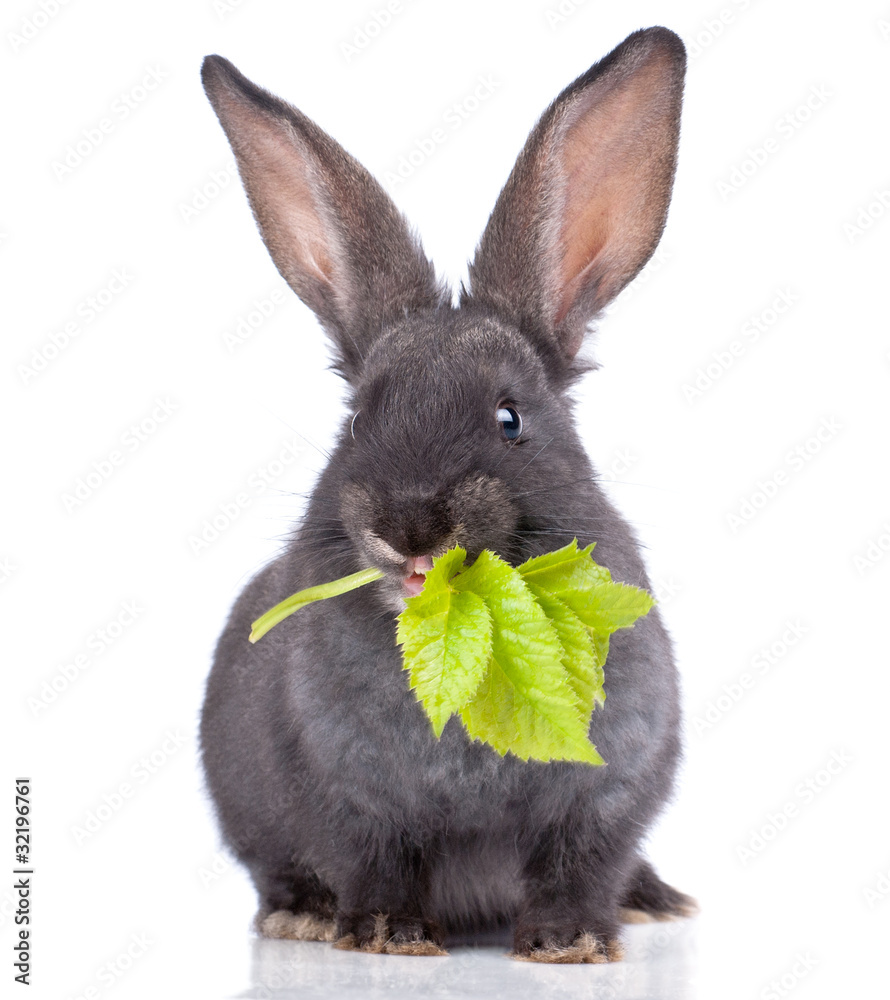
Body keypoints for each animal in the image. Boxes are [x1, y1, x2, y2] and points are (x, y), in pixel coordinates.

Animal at [199, 26, 696, 964]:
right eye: (360, 417)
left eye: (510, 418)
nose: (410, 523)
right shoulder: (347, 797)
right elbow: (374, 860)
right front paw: (386, 935)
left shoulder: (608, 790)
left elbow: (580, 860)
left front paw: (569, 943)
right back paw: (302, 913)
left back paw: (654, 900)